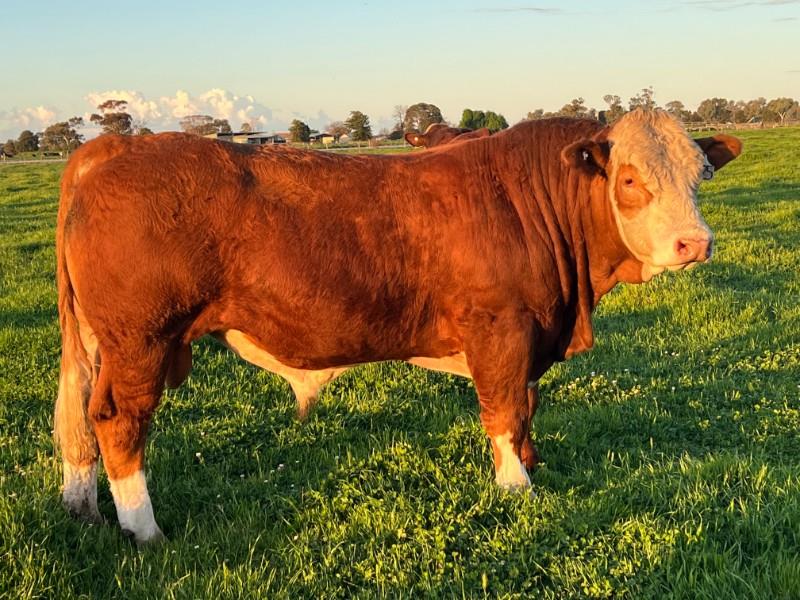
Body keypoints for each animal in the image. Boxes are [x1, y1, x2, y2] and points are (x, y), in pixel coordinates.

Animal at [54, 109, 741, 545]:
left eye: (700, 177)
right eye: (629, 179)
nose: (695, 243)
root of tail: (111, 148)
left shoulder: (532, 336)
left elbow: (527, 406)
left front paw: (532, 465)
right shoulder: (501, 328)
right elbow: (504, 410)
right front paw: (515, 488)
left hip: (98, 342)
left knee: (80, 418)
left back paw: (82, 509)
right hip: (140, 340)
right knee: (117, 421)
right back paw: (144, 528)